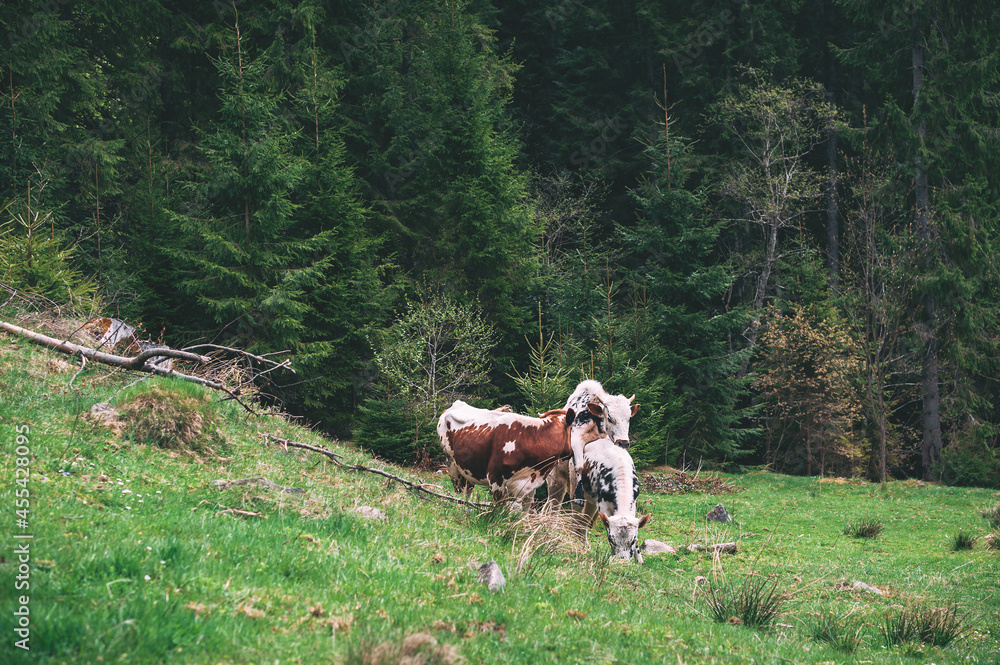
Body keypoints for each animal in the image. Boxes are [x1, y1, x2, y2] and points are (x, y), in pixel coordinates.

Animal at [437, 401, 576, 509]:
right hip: (452, 464)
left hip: (469, 470)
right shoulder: (496, 477)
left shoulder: (530, 485)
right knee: (458, 492)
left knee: (467, 491)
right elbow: (498, 509)